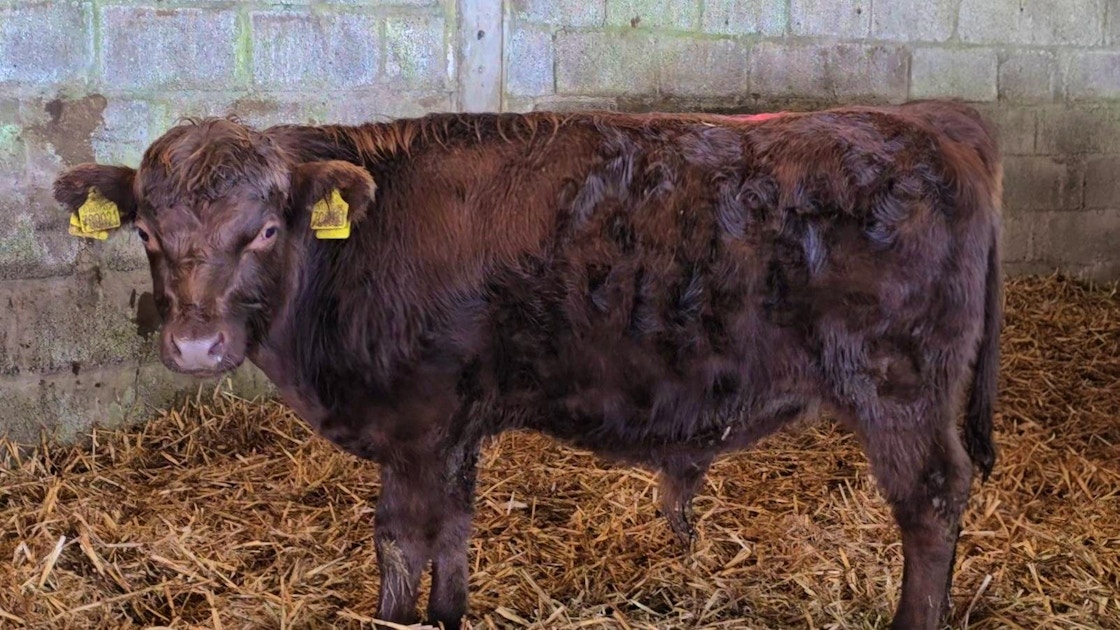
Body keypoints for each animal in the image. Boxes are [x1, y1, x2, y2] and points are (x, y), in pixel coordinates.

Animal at [53, 99, 1002, 630]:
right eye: (147, 233)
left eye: (262, 229)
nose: (194, 345)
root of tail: (931, 128)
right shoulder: (449, 426)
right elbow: (448, 539)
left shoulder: (420, 421)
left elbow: (404, 540)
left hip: (899, 385)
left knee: (930, 501)